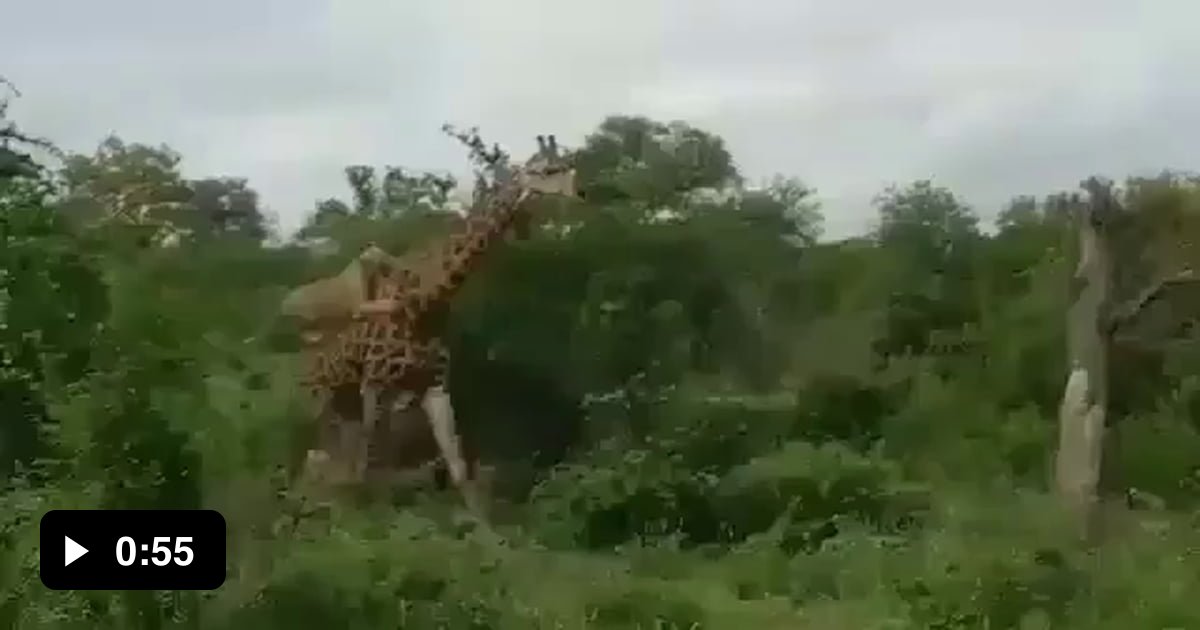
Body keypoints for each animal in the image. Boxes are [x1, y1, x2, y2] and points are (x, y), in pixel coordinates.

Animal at [293, 133, 579, 517]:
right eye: (545, 171)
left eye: (567, 165)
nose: (578, 192)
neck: (425, 307)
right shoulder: (375, 383)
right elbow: (368, 467)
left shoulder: (433, 386)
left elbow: (458, 469)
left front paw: (488, 531)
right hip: (324, 396)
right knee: (326, 459)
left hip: (345, 401)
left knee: (332, 459)